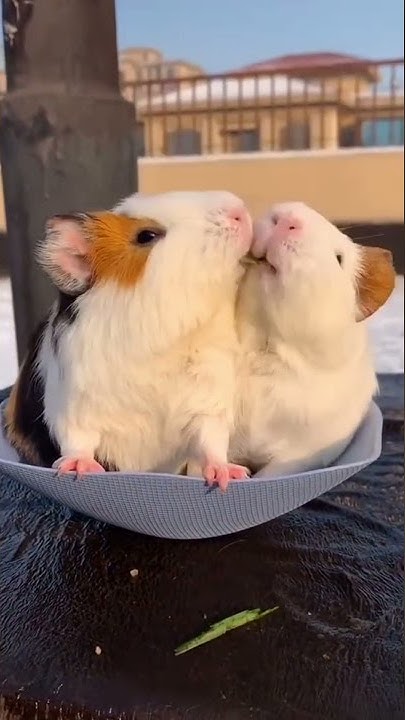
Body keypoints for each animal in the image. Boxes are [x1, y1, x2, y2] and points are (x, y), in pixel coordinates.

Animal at [5, 191, 253, 488]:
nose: (239, 211)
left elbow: (211, 442)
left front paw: (227, 476)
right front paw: (78, 470)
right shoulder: (72, 406)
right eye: (146, 235)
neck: (162, 343)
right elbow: (78, 441)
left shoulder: (210, 402)